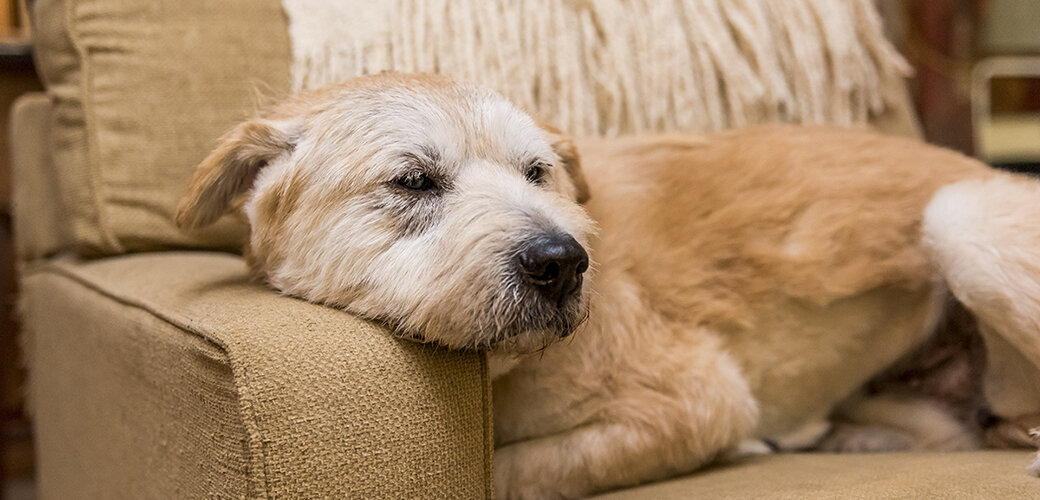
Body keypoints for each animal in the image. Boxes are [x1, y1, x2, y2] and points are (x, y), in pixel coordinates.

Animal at [174, 72, 1040, 496]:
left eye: (538, 172)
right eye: (414, 180)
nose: (562, 261)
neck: (501, 376)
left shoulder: (700, 399)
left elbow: (513, 474)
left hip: (959, 217)